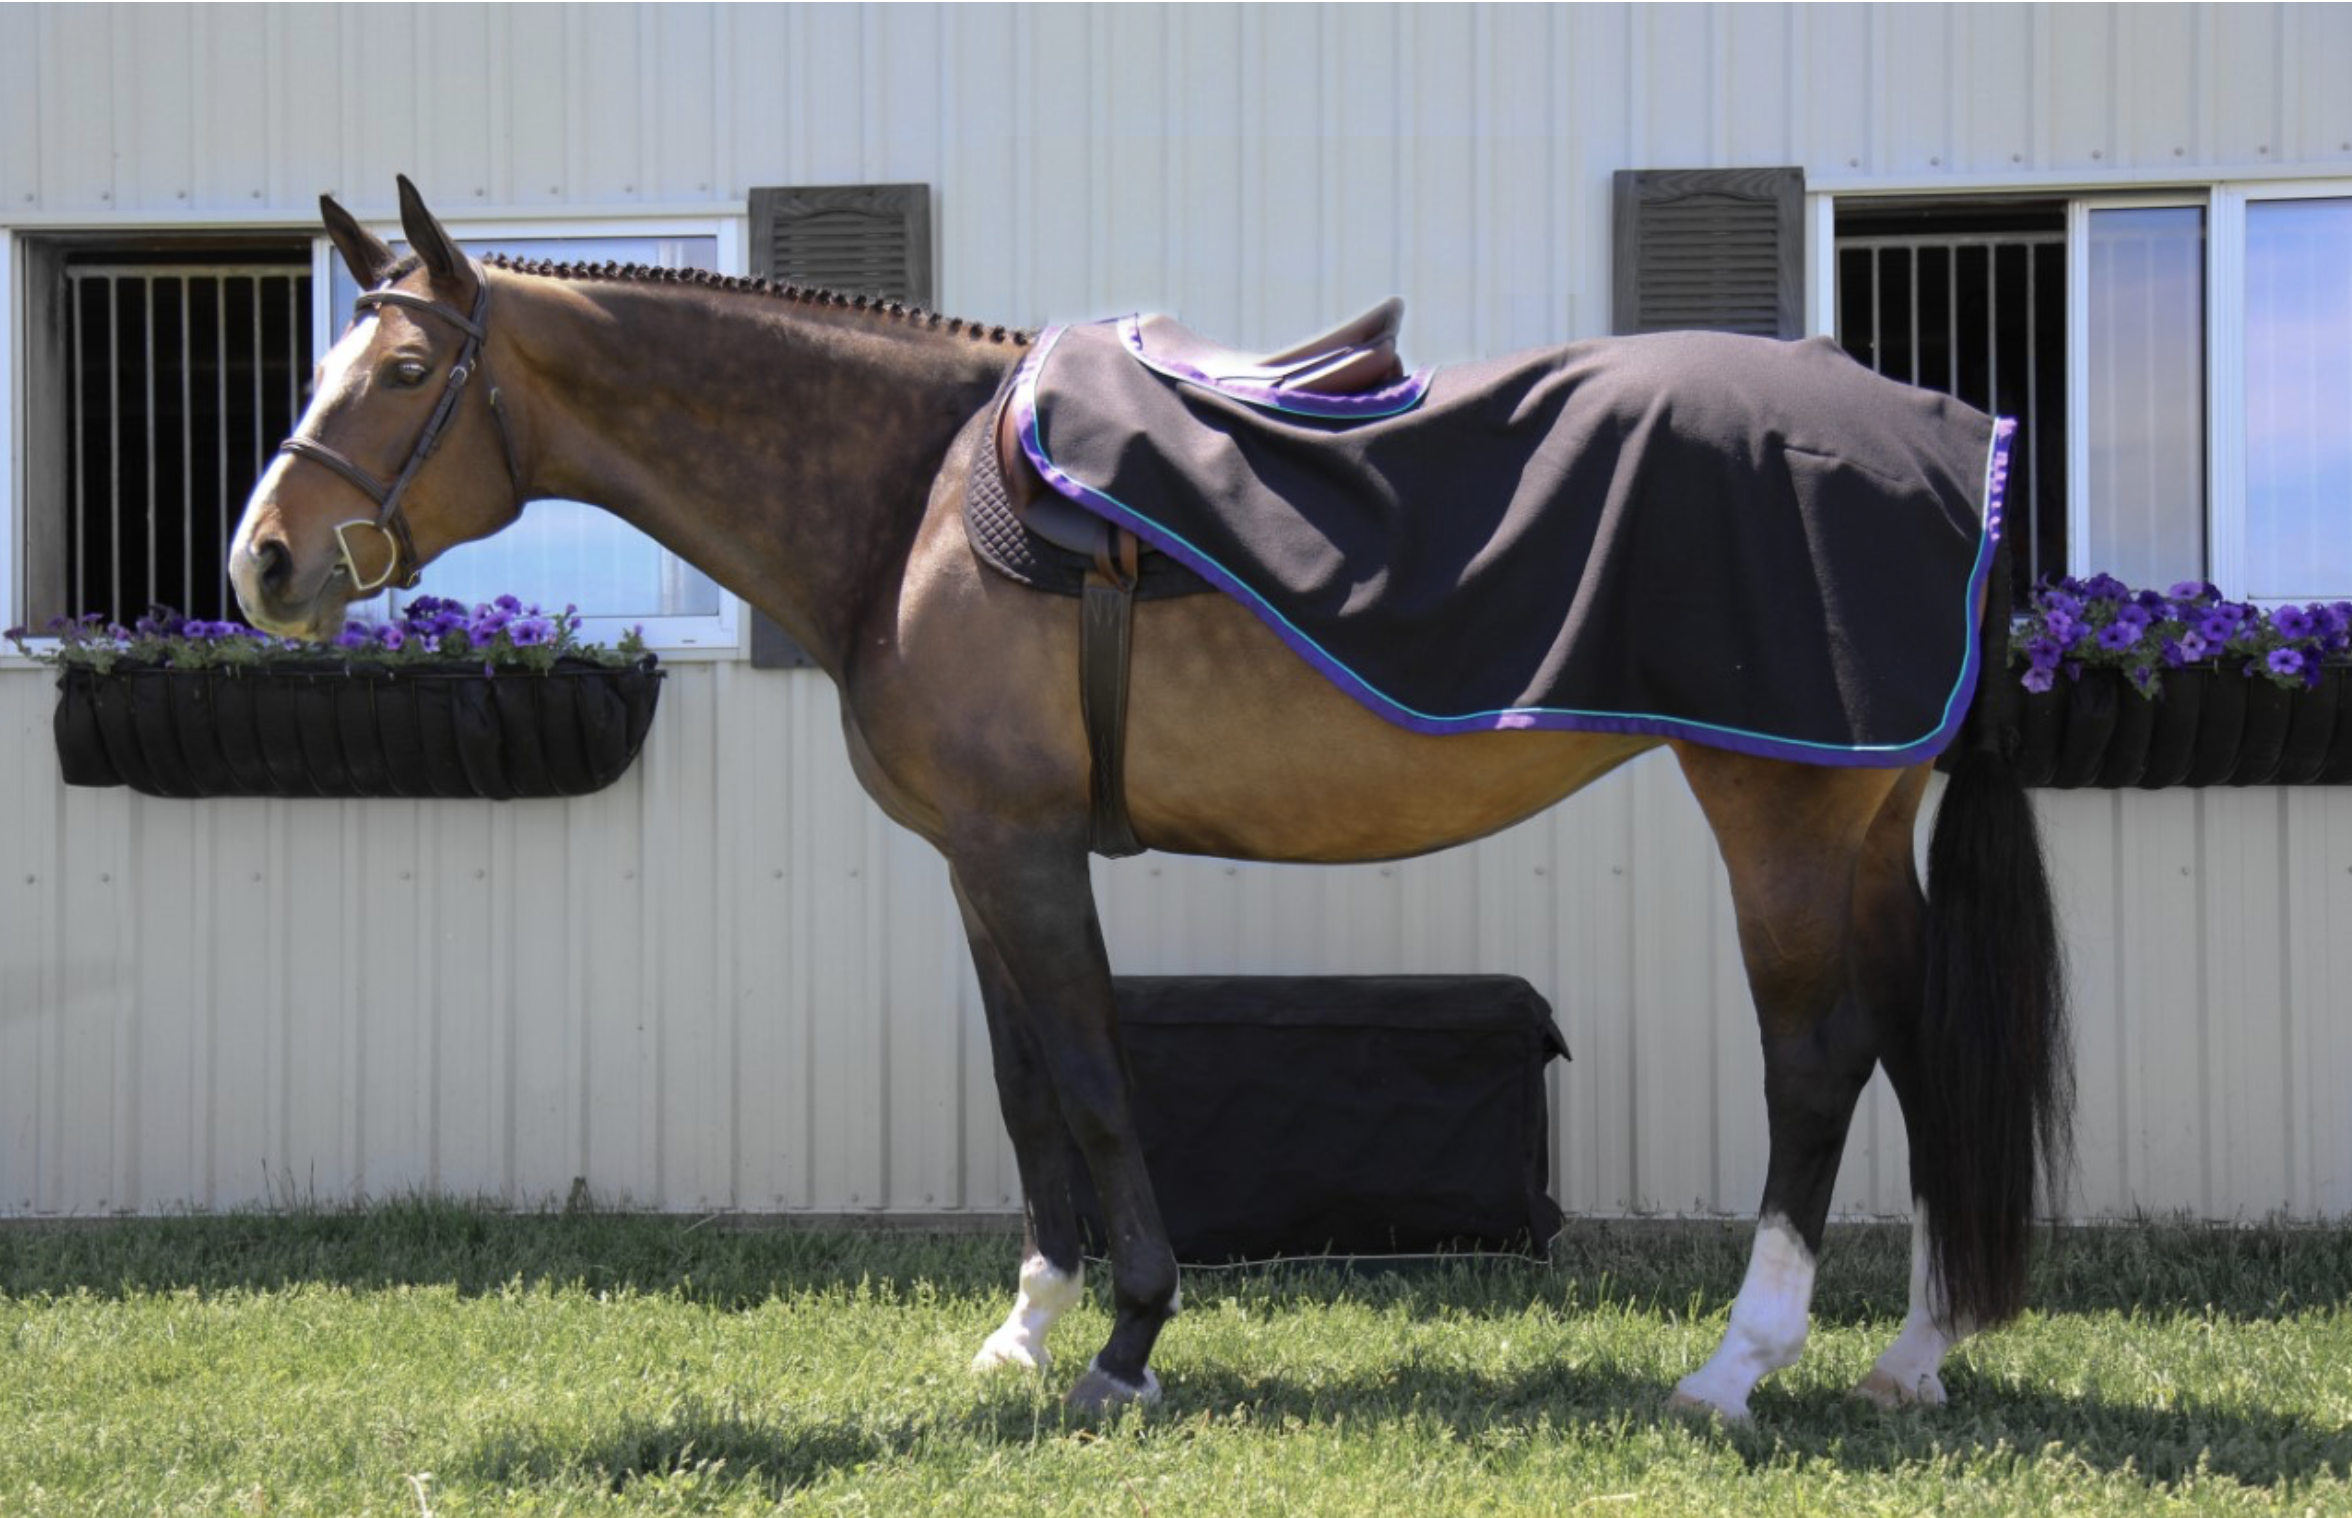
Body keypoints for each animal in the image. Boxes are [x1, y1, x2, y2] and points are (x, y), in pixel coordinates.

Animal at [228, 178, 2071, 1421]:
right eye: (327, 360)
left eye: (404, 374)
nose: (261, 566)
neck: (912, 499)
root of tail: (1950, 438)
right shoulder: (983, 857)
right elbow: (1026, 1089)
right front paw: (1026, 1327)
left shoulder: (1031, 856)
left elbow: (1101, 1083)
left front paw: (1123, 1340)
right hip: (1858, 829)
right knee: (1918, 1039)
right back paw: (1914, 1348)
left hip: (1778, 815)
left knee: (1819, 1059)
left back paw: (1737, 1363)